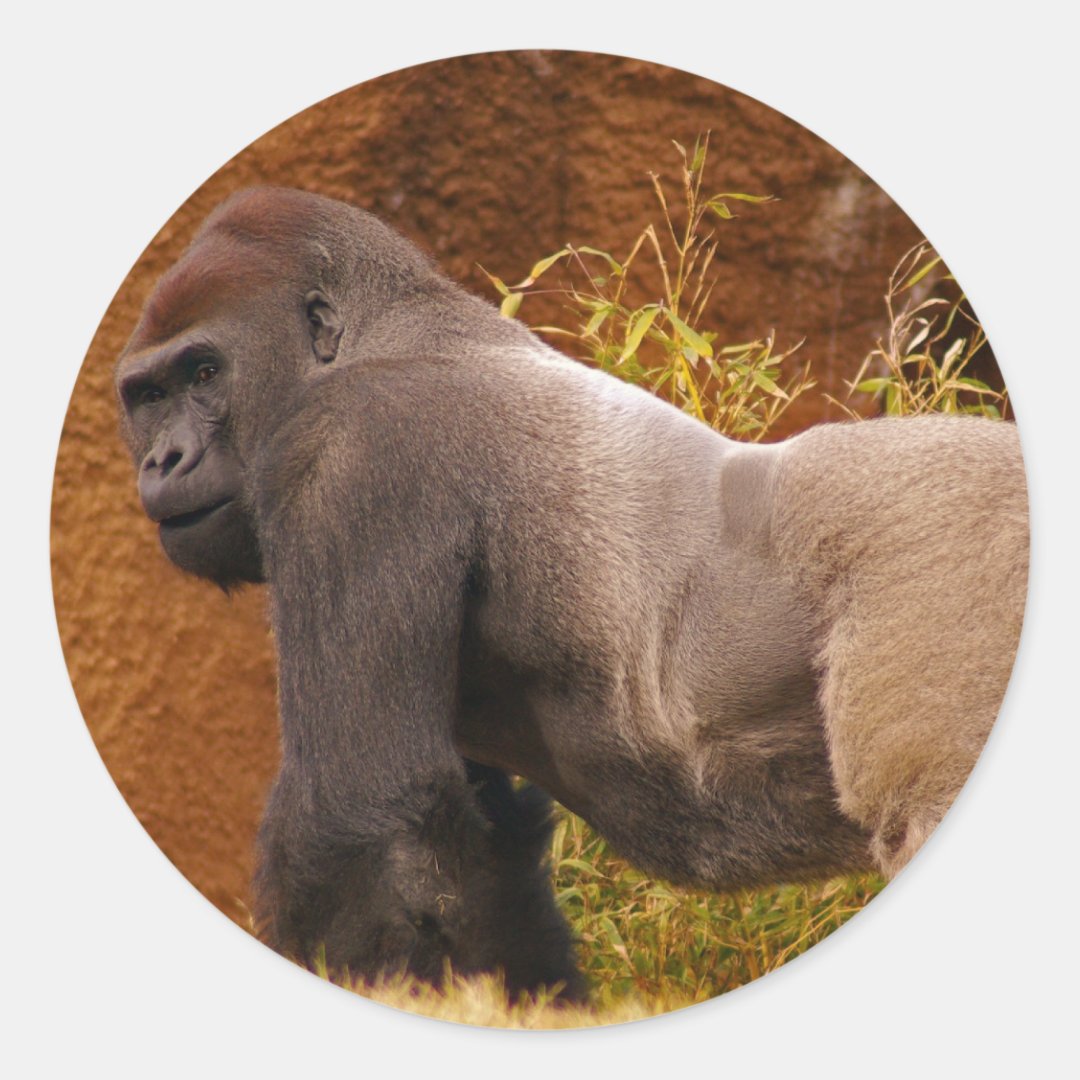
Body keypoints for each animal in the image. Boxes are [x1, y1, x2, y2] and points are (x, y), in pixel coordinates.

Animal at [115, 186, 1028, 997]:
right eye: (147, 396)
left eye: (204, 372)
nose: (162, 460)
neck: (380, 333)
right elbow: (475, 863)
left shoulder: (350, 454)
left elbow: (364, 817)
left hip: (945, 542)